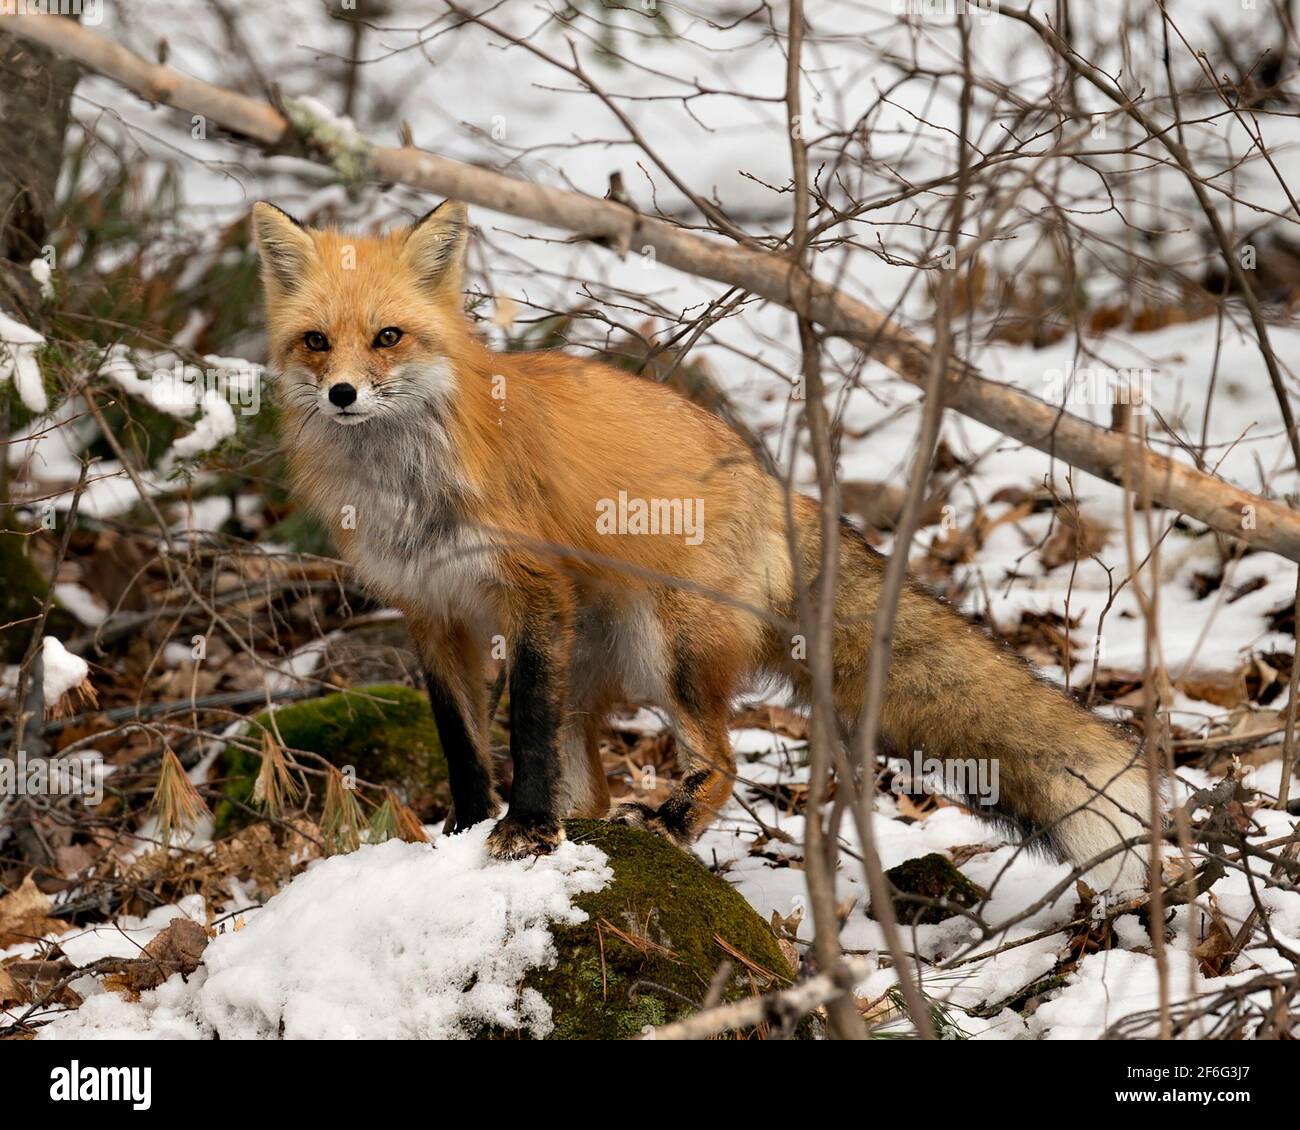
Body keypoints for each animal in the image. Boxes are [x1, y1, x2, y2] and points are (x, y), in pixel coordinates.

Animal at [252, 199, 1156, 890]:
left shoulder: (533, 590)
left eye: (389, 337)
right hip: (596, 663)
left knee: (720, 759)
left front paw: (528, 830)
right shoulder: (432, 610)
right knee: (597, 790)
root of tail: (771, 480)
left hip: (669, 652)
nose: (342, 395)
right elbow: (463, 743)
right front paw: (464, 833)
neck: (407, 490)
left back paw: (671, 823)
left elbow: (525, 734)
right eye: (316, 341)